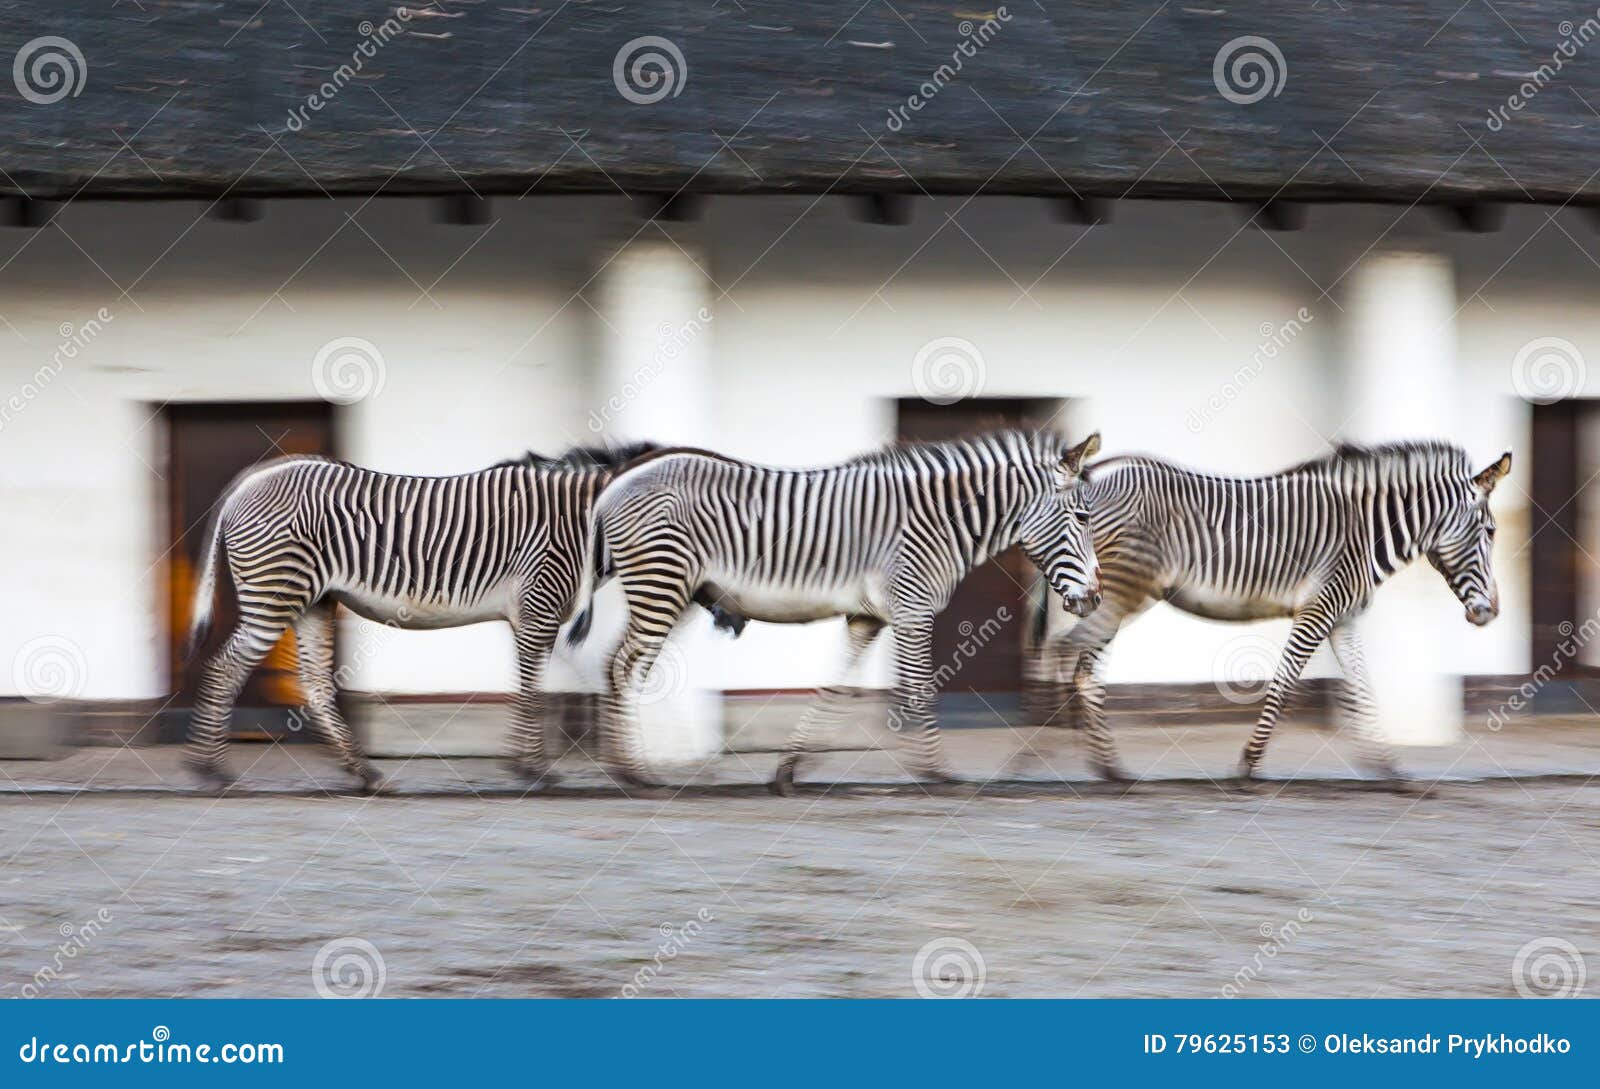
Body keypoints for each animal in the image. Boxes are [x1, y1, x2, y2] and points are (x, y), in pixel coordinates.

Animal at [182, 442, 657, 792]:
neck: (579, 521)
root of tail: (254, 477)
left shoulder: (529, 615)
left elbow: (535, 684)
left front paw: (530, 762)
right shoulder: (538, 605)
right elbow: (533, 689)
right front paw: (535, 769)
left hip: (313, 601)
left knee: (314, 684)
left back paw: (364, 773)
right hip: (275, 593)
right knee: (226, 667)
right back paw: (209, 769)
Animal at [576, 429, 1105, 790]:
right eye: (1082, 517)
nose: (1096, 599)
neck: (938, 522)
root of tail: (620, 478)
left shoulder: (868, 618)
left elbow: (834, 687)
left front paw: (791, 768)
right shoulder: (912, 609)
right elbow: (919, 690)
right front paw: (937, 772)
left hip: (676, 592)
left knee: (616, 665)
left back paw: (626, 767)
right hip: (661, 585)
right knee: (622, 667)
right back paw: (633, 772)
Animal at [1020, 440, 1511, 780]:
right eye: (1490, 531)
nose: (1491, 612)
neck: (1366, 532)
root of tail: (1093, 472)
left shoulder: (1343, 619)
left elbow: (1364, 688)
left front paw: (1387, 765)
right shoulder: (1317, 611)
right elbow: (1283, 683)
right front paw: (1250, 763)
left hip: (1116, 595)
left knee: (1083, 667)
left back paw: (1104, 766)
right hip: (1124, 591)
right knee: (1070, 657)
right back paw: (1040, 757)